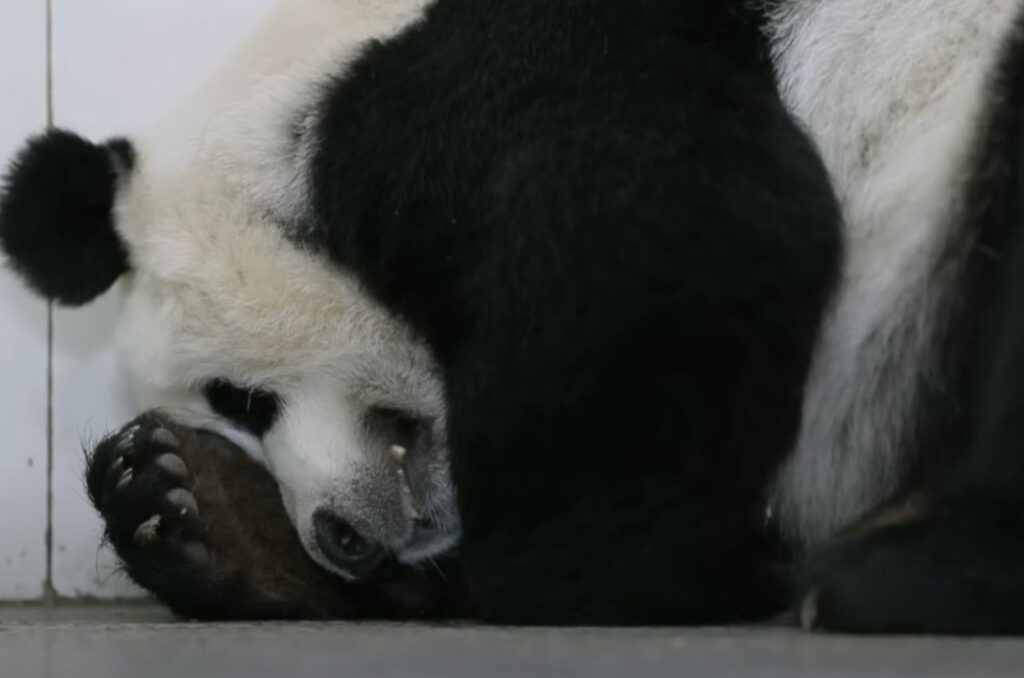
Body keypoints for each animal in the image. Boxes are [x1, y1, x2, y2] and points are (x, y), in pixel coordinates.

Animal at [3, 0, 1024, 633]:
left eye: (240, 397)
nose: (340, 538)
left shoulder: (488, 82)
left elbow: (675, 232)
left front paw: (602, 571)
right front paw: (205, 510)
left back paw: (900, 575)